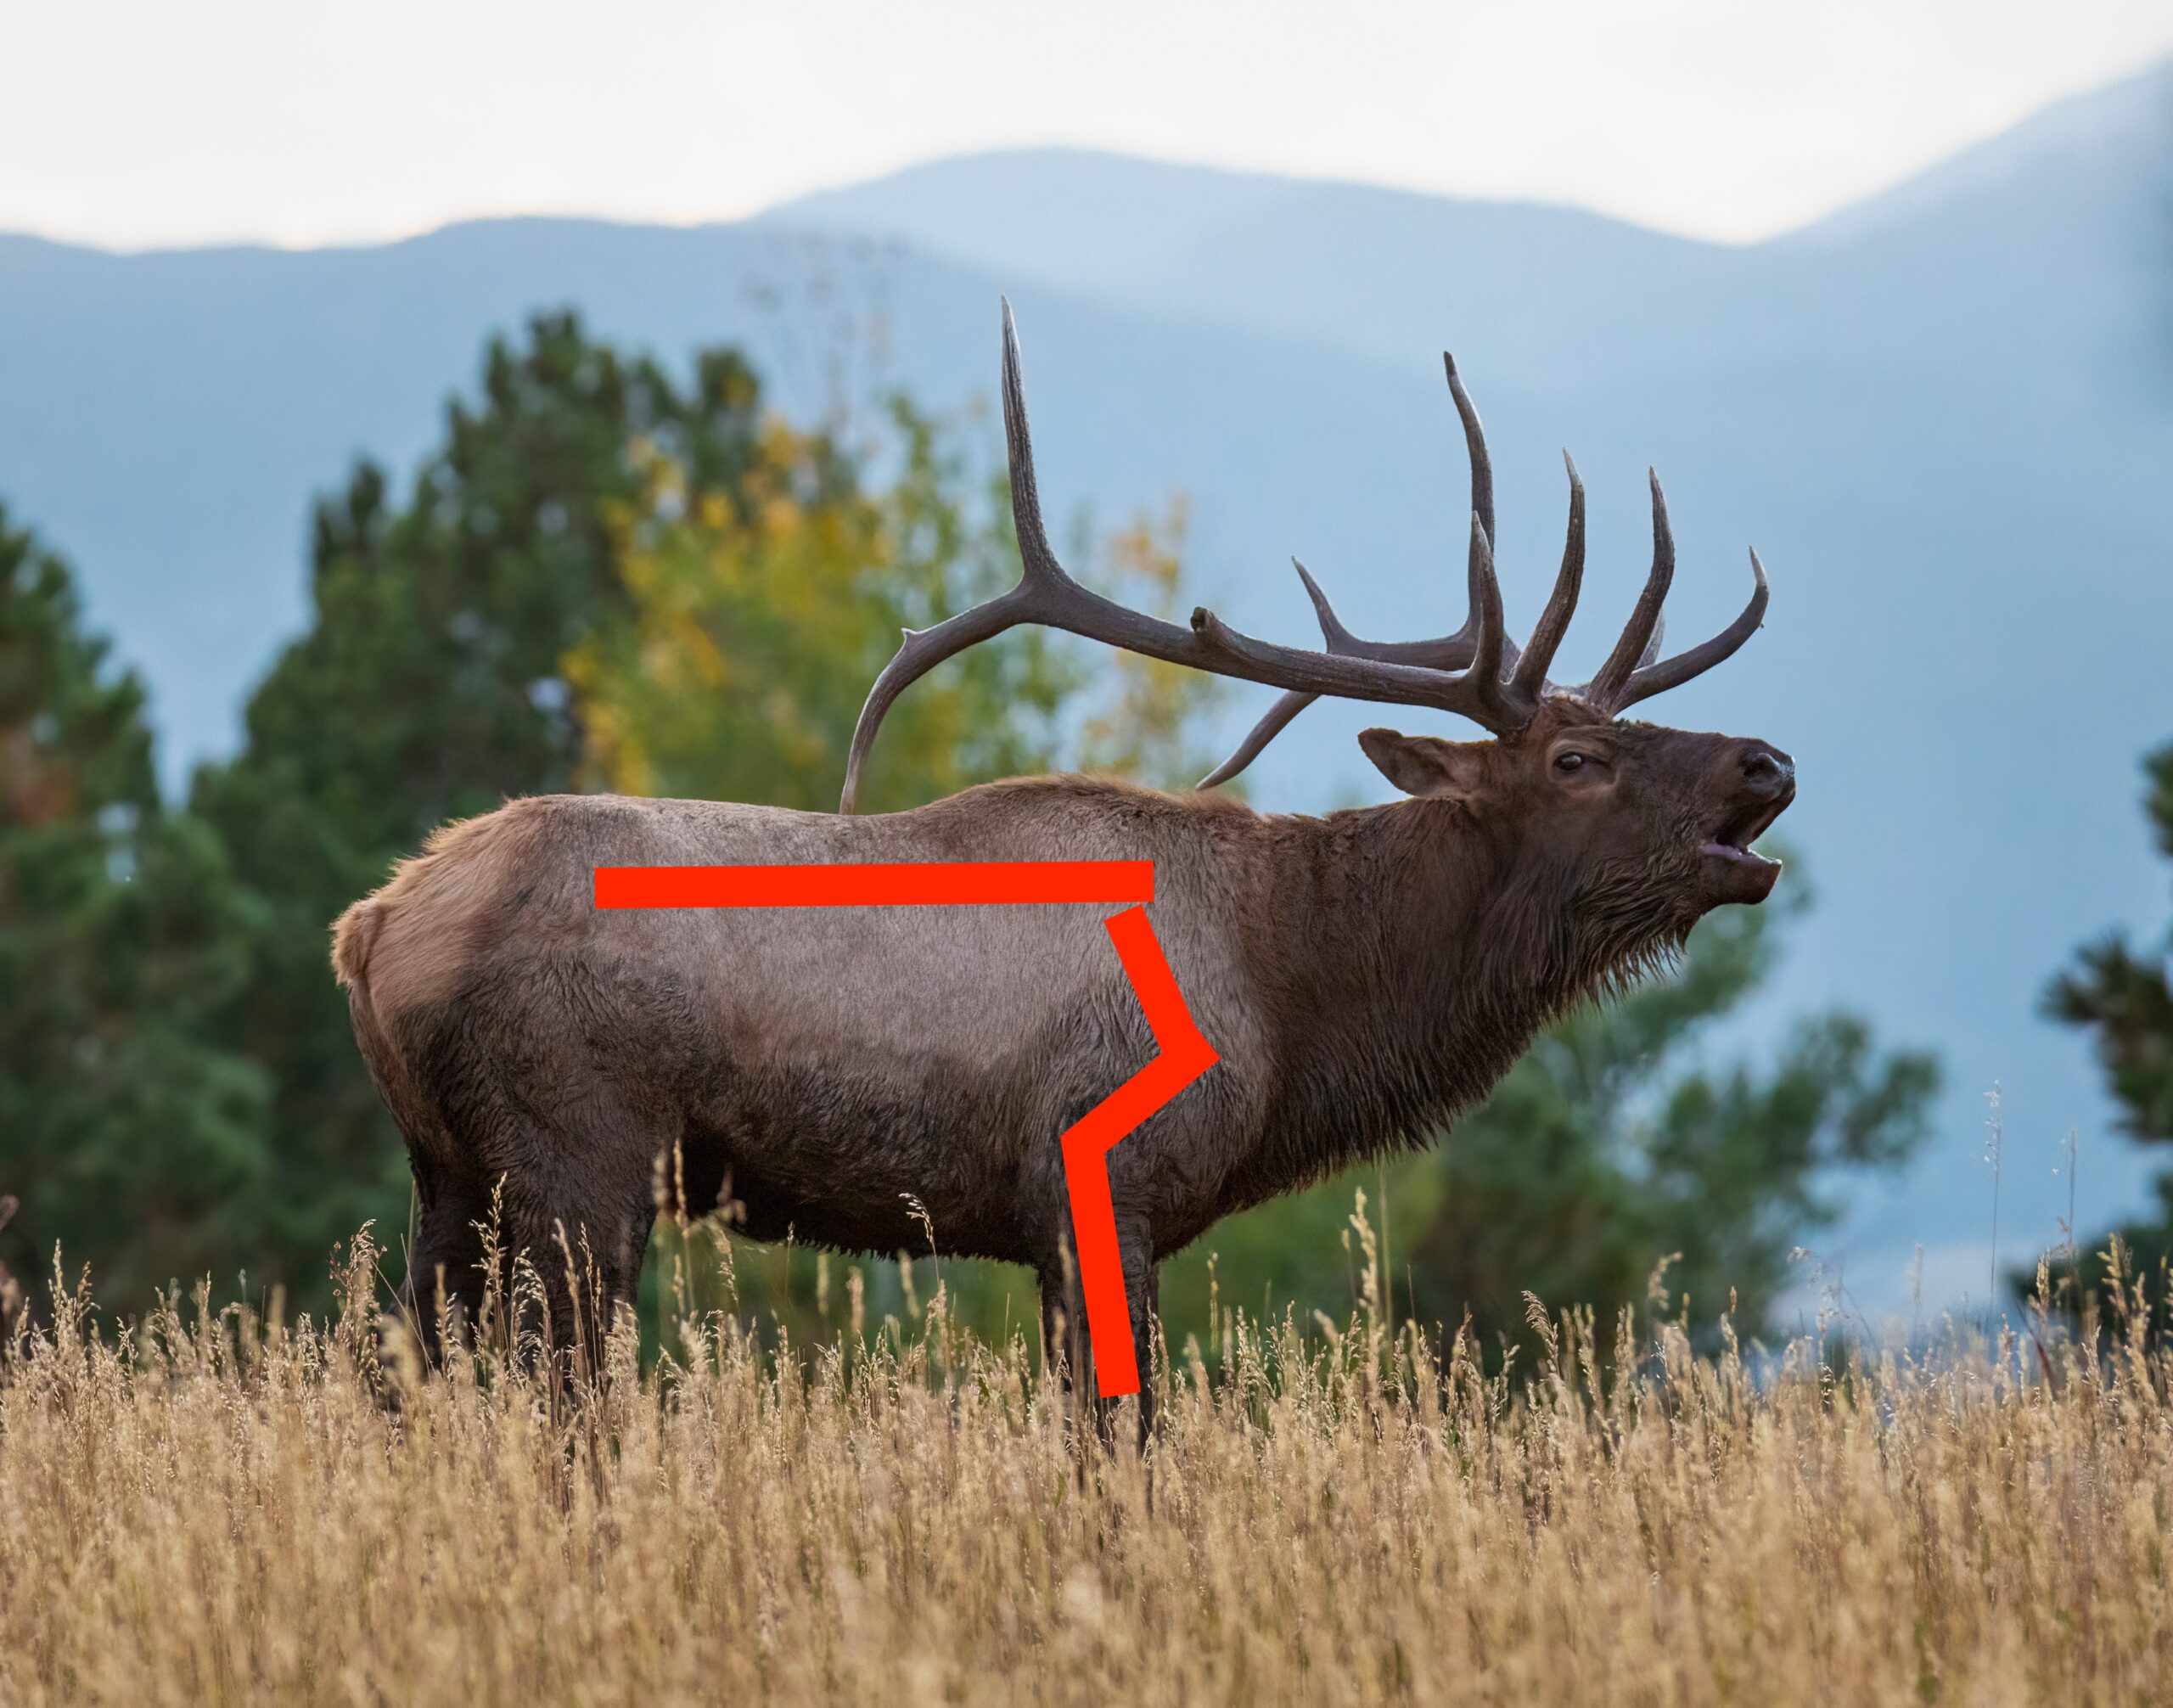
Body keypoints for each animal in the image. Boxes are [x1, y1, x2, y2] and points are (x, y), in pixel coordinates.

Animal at [332, 303, 1793, 1428]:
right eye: (1574, 760)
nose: (1764, 762)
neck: (1294, 1000)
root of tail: (369, 929)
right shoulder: (1103, 1181)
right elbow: (1123, 1436)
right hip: (579, 1157)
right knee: (559, 1399)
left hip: (444, 1175)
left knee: (401, 1379)